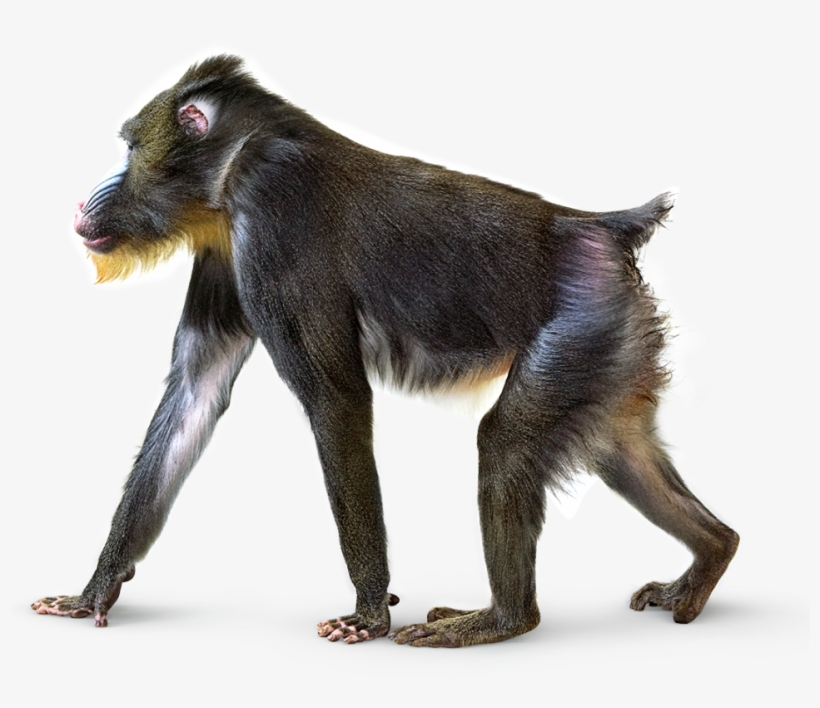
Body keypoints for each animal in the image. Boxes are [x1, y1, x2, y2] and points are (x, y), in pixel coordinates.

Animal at [32, 55, 739, 647]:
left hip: (579, 328)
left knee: (505, 443)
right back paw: (711, 554)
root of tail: (602, 228)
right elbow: (193, 396)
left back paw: (502, 619)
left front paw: (369, 614)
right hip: (612, 349)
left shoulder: (274, 214)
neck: (236, 161)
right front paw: (93, 592)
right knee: (622, 453)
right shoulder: (223, 250)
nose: (85, 200)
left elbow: (336, 396)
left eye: (130, 147)